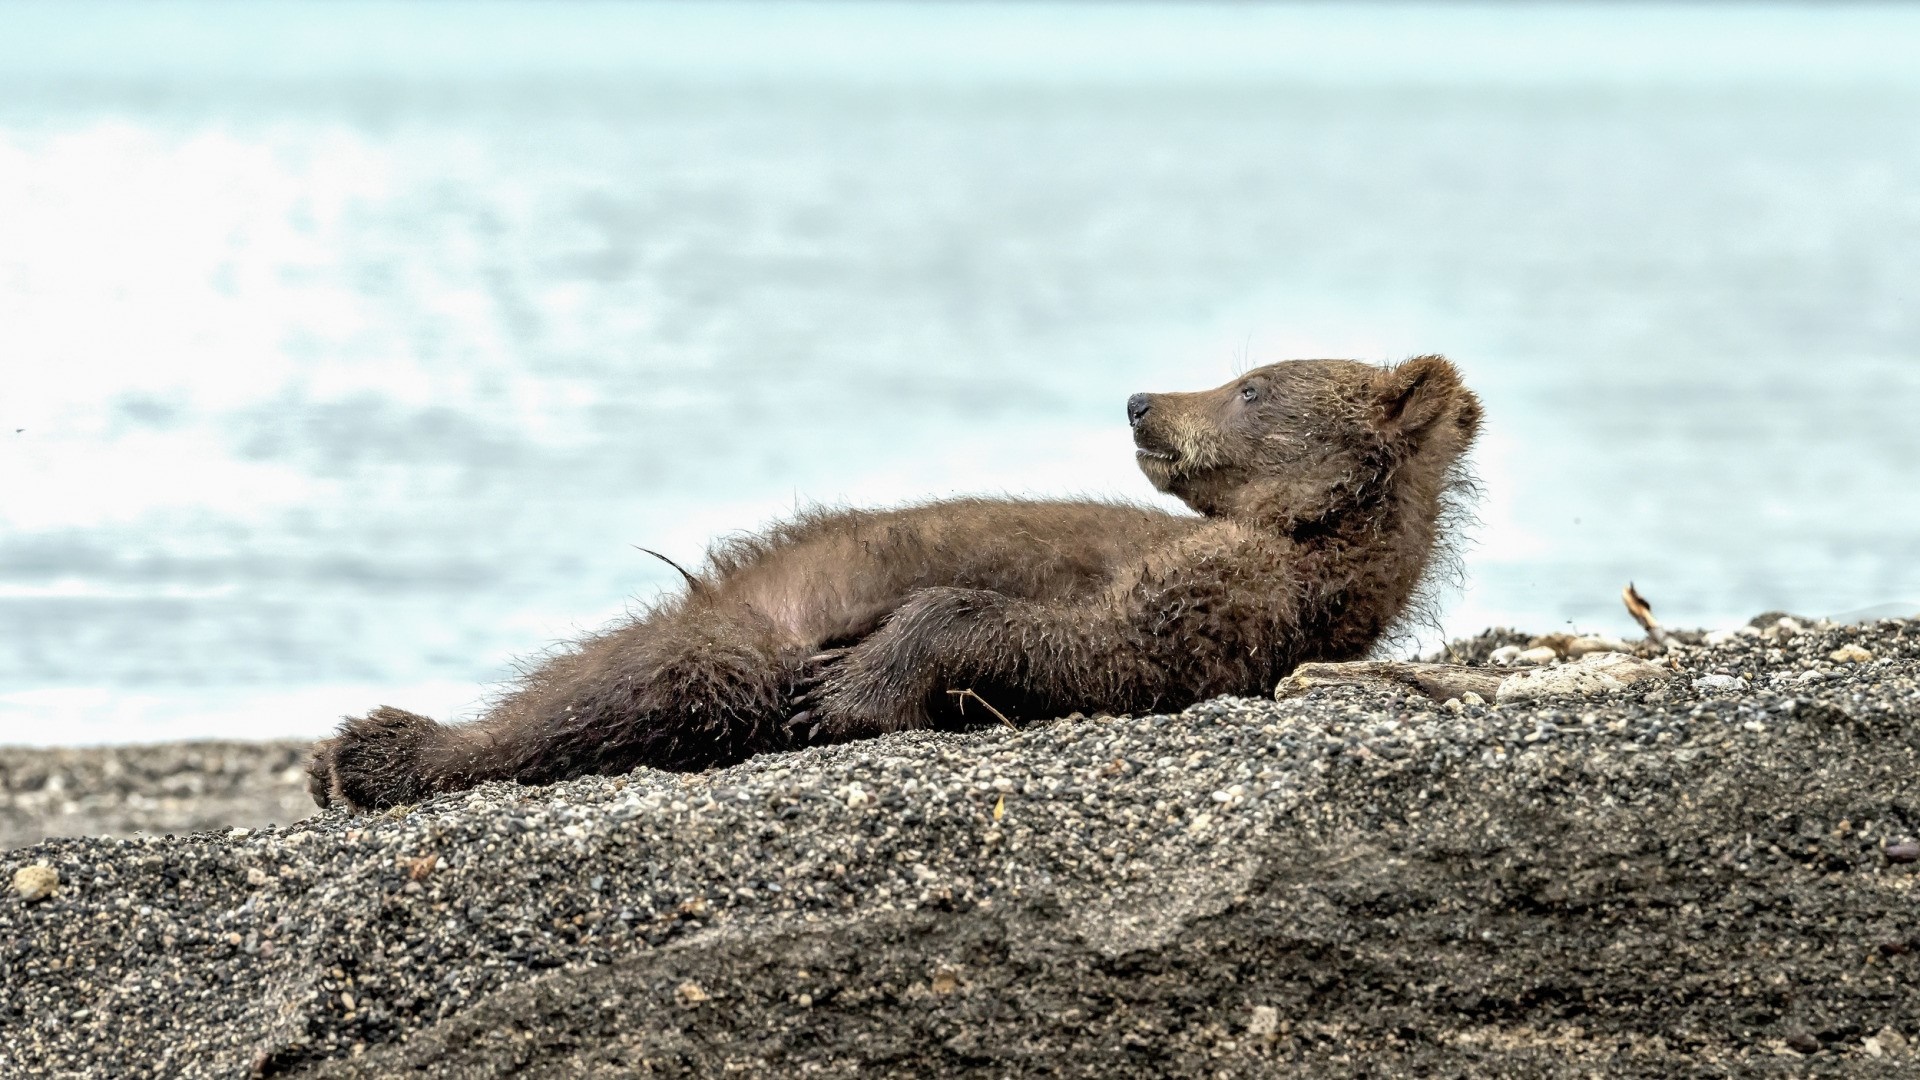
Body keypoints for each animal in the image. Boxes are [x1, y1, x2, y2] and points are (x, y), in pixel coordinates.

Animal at [307, 355, 1482, 811]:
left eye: (1252, 386)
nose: (1142, 400)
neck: (1301, 533)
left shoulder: (1243, 609)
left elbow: (1081, 645)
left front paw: (854, 686)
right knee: (593, 667)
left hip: (736, 641)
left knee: (649, 685)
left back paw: (383, 752)